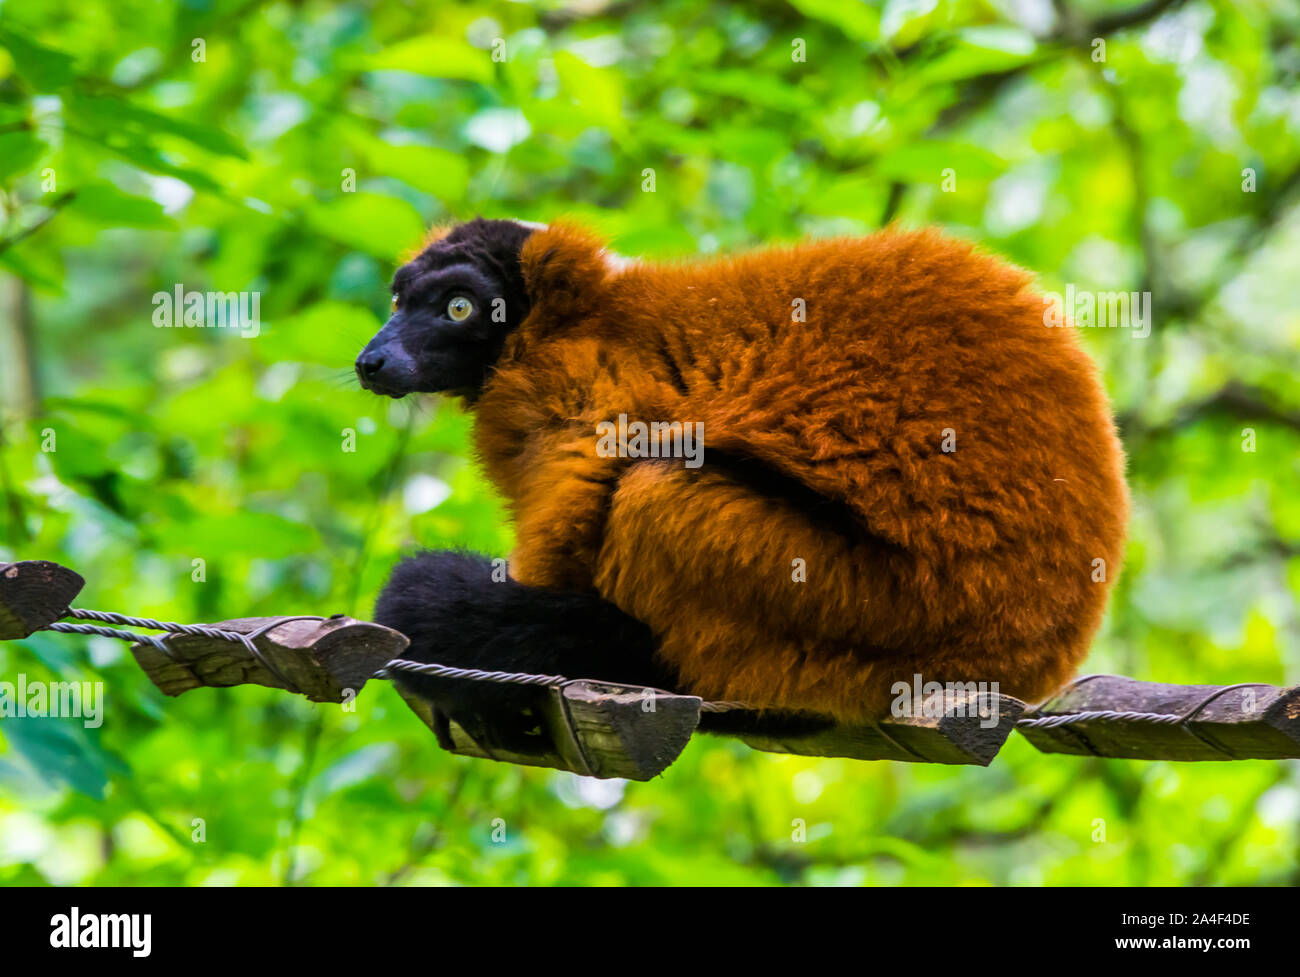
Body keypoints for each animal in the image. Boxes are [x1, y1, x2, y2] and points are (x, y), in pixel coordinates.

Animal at [357, 217, 1128, 743]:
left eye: (458, 307)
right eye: (398, 301)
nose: (373, 360)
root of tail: (1026, 653)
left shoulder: (571, 385)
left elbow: (582, 507)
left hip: (875, 608)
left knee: (656, 494)